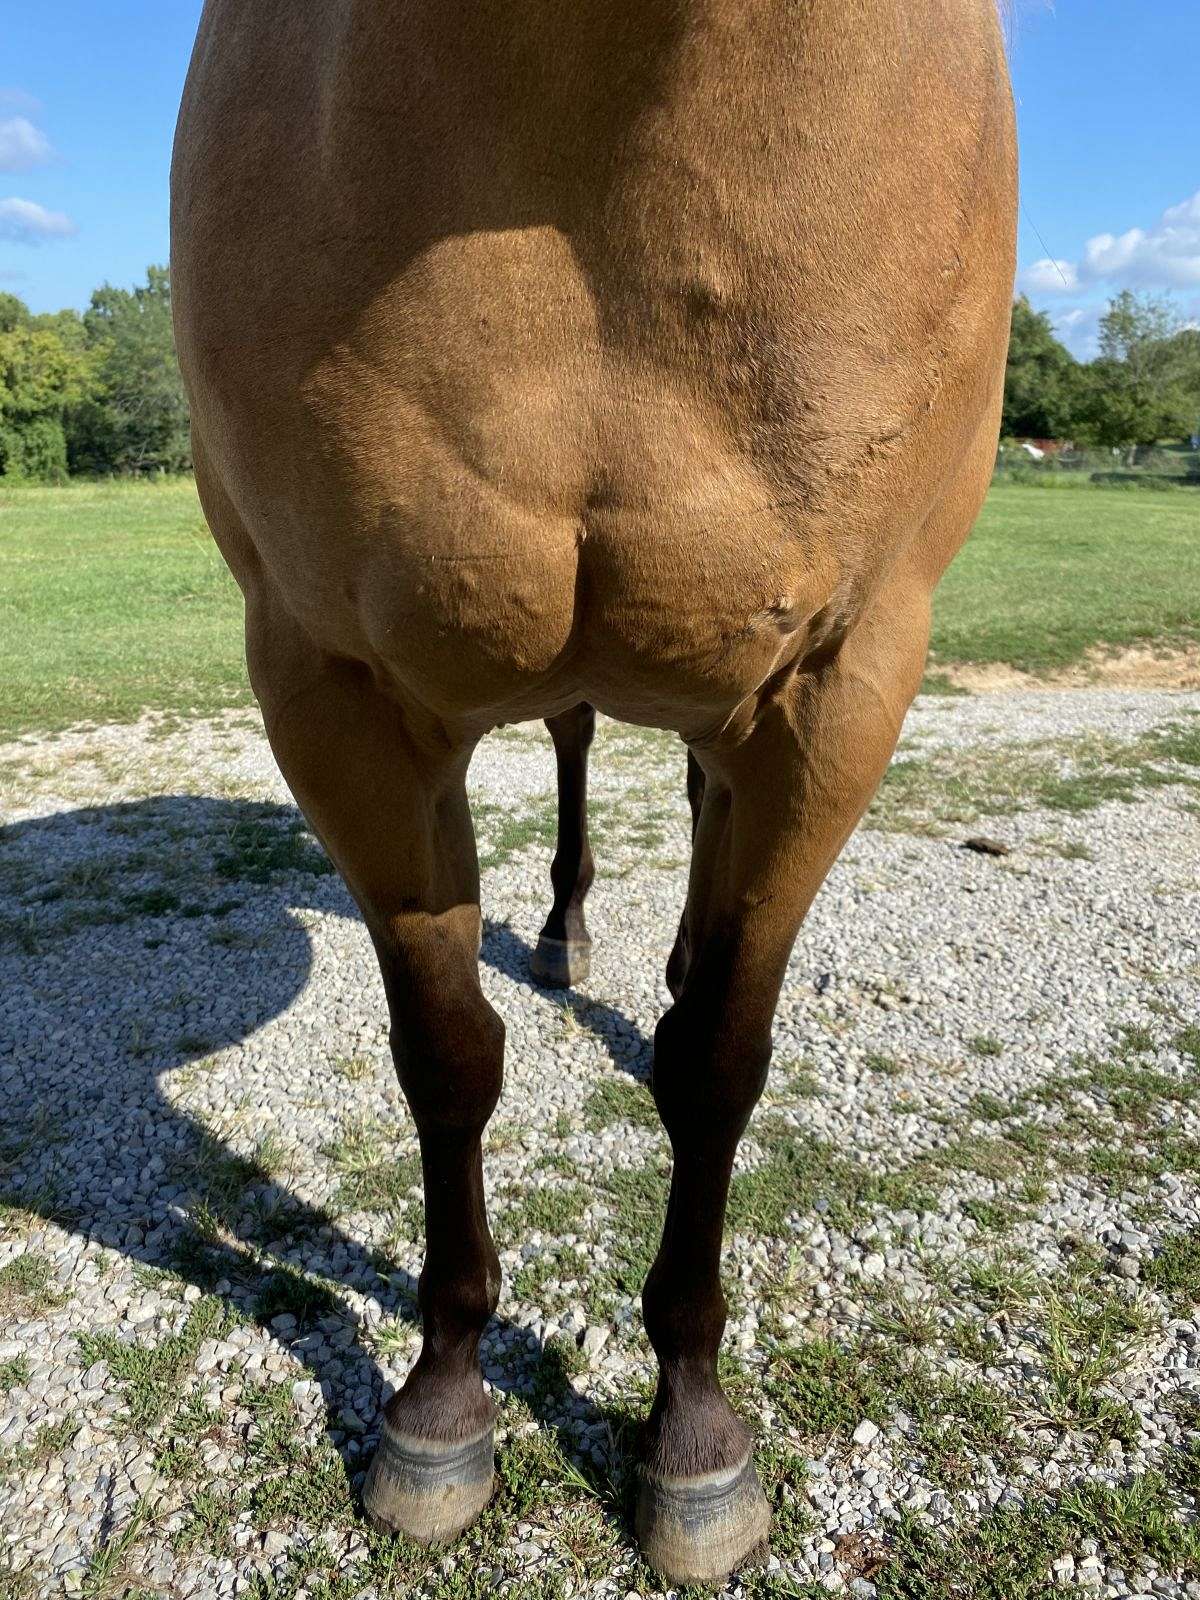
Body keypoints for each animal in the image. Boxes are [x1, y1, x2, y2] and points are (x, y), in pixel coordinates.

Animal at [171, 0, 1016, 1580]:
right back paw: (565, 931)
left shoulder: (842, 683)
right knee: (574, 743)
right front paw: (441, 1404)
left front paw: (693, 1429)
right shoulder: (333, 687)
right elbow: (446, 1055)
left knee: (692, 807)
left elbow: (717, 1062)